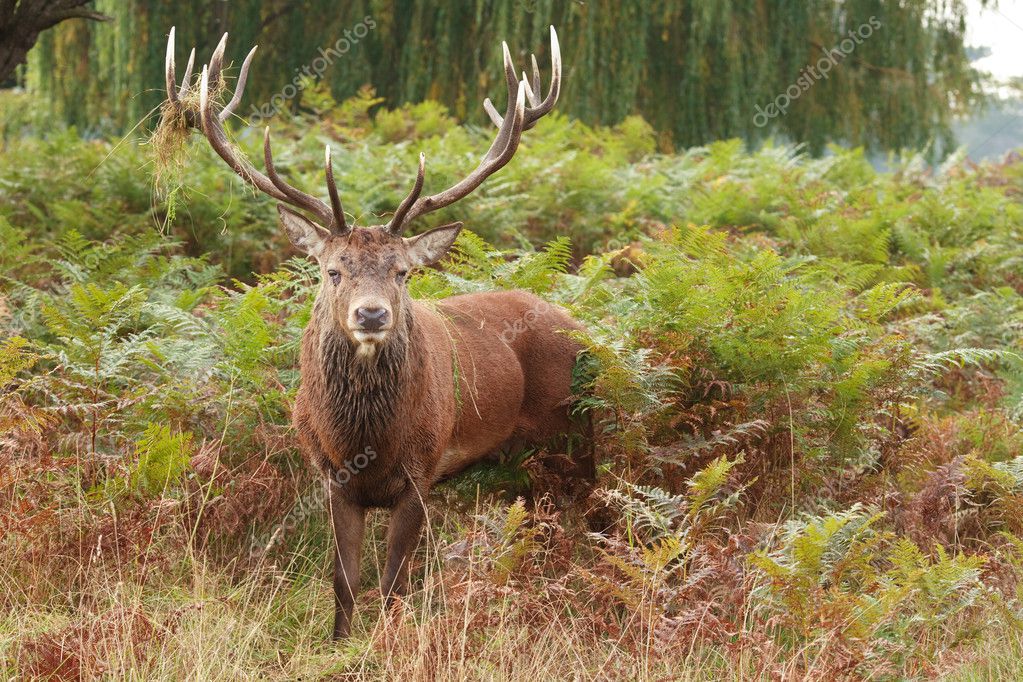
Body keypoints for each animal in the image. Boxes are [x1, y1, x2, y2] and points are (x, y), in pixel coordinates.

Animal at [163, 26, 590, 638]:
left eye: (402, 272)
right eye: (332, 269)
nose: (371, 315)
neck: (364, 440)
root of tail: (575, 321)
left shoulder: (422, 473)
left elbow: (392, 585)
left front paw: (382, 643)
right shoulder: (329, 477)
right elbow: (344, 580)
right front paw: (339, 643)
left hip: (573, 433)